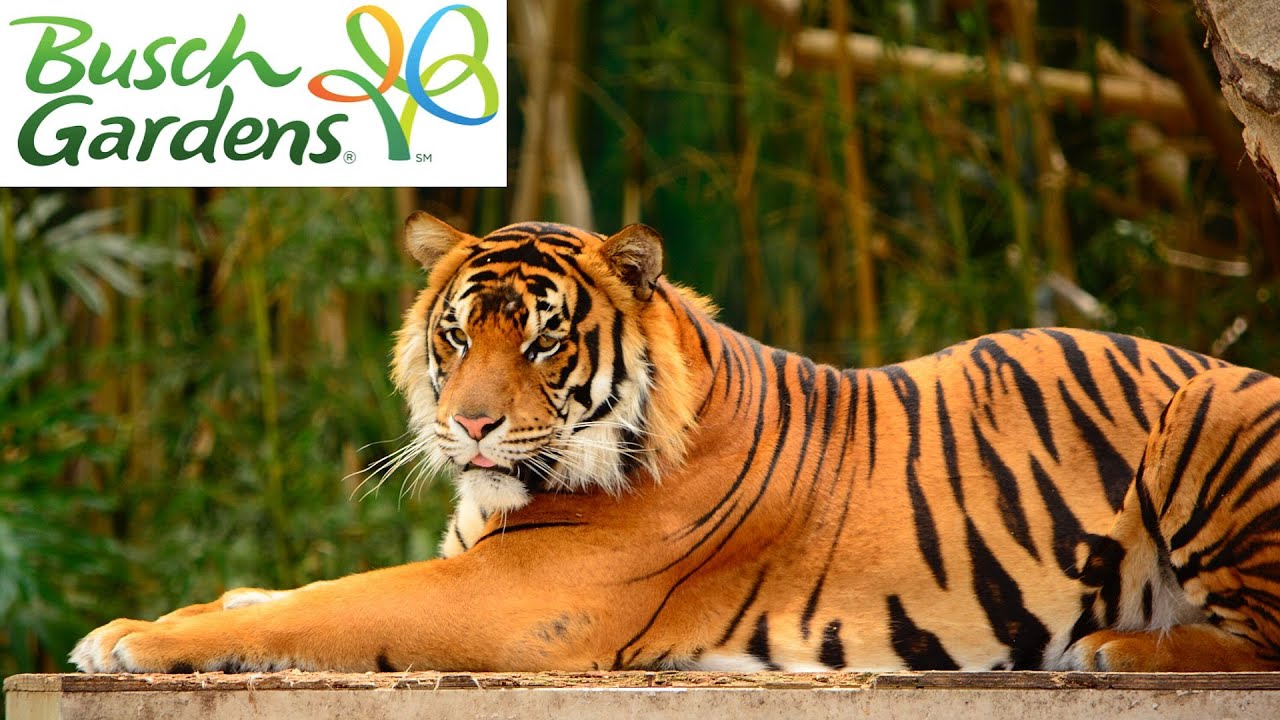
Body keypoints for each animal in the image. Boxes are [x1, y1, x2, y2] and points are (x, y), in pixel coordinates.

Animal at [72, 213, 1280, 674]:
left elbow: (323, 606)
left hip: (1206, 413)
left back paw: (1115, 649)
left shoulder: (514, 597)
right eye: (457, 334)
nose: (469, 422)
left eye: (543, 338)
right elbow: (269, 593)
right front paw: (135, 624)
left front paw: (131, 643)